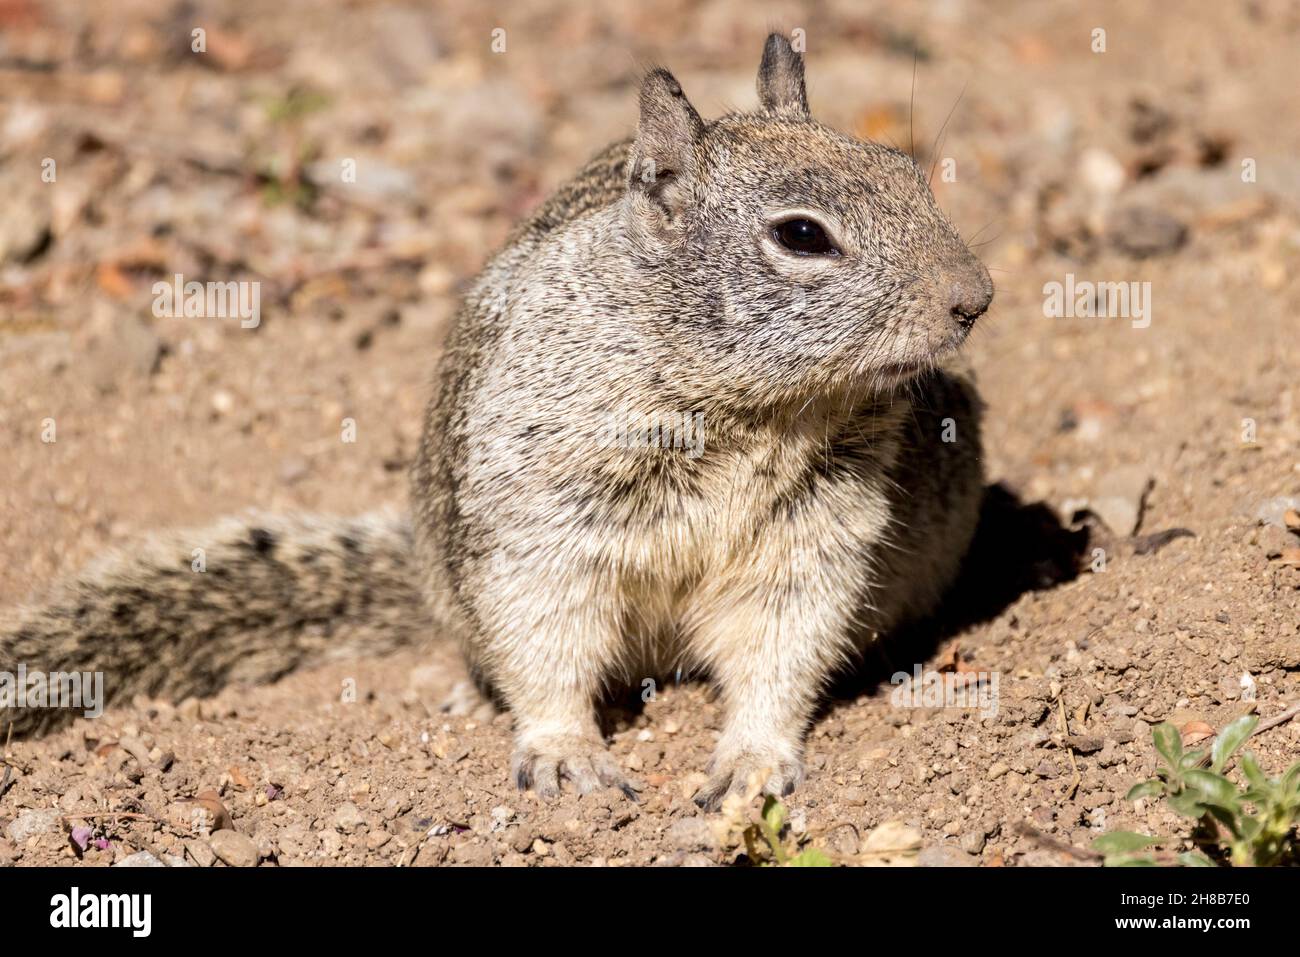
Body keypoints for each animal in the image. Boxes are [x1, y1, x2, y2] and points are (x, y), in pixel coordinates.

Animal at [1, 34, 992, 809]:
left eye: (908, 171)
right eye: (801, 235)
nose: (975, 297)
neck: (753, 407)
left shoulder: (814, 533)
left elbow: (782, 651)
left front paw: (751, 762)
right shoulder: (542, 517)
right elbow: (545, 639)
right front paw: (564, 751)